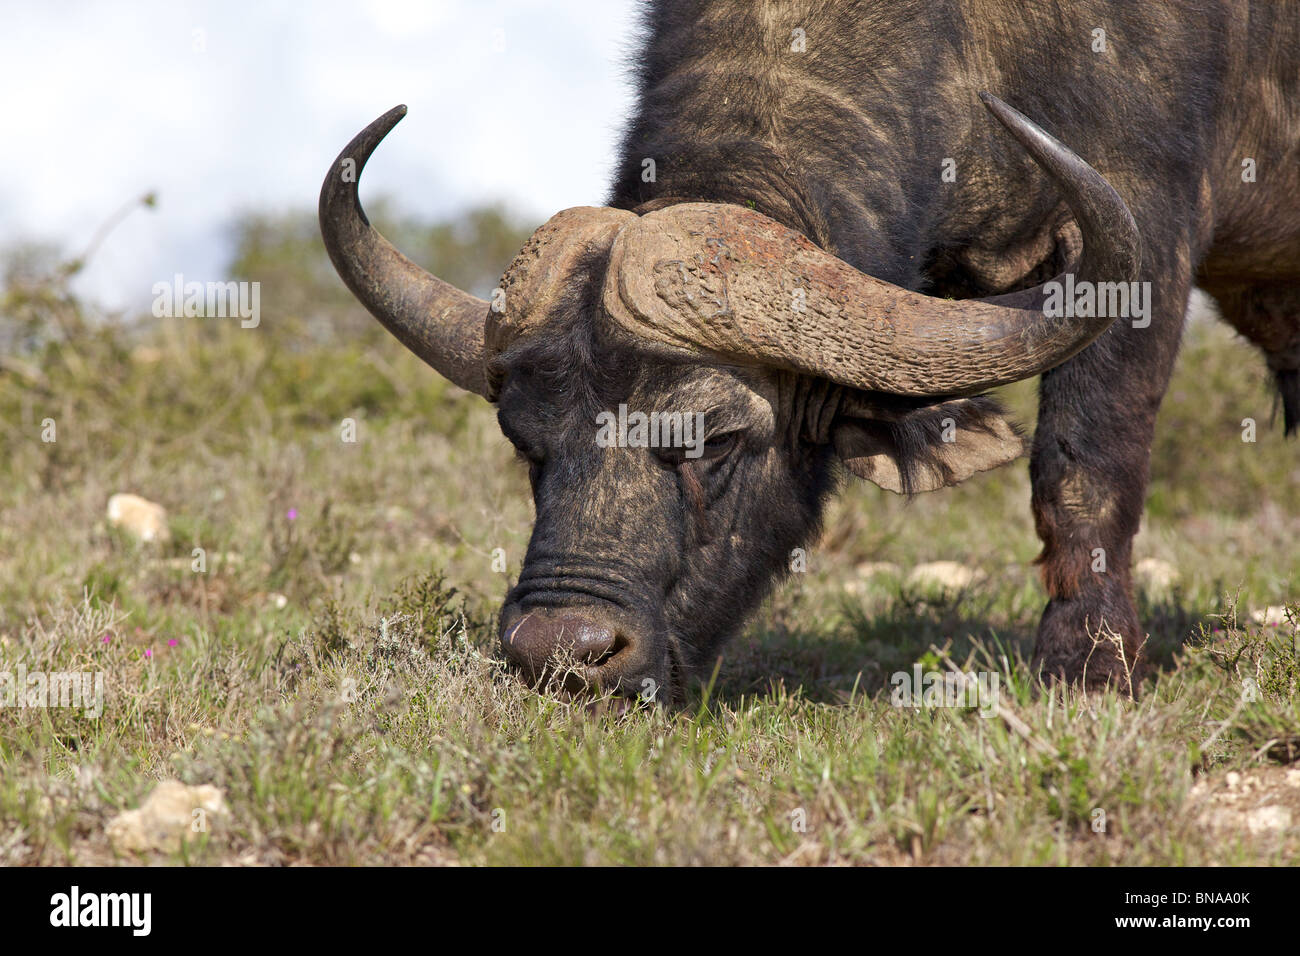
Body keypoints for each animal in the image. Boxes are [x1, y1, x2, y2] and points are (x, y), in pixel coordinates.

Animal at [320, 0, 1300, 701]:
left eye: (715, 440)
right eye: (526, 443)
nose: (561, 654)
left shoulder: (1144, 237)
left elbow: (1084, 466)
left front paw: (1088, 669)